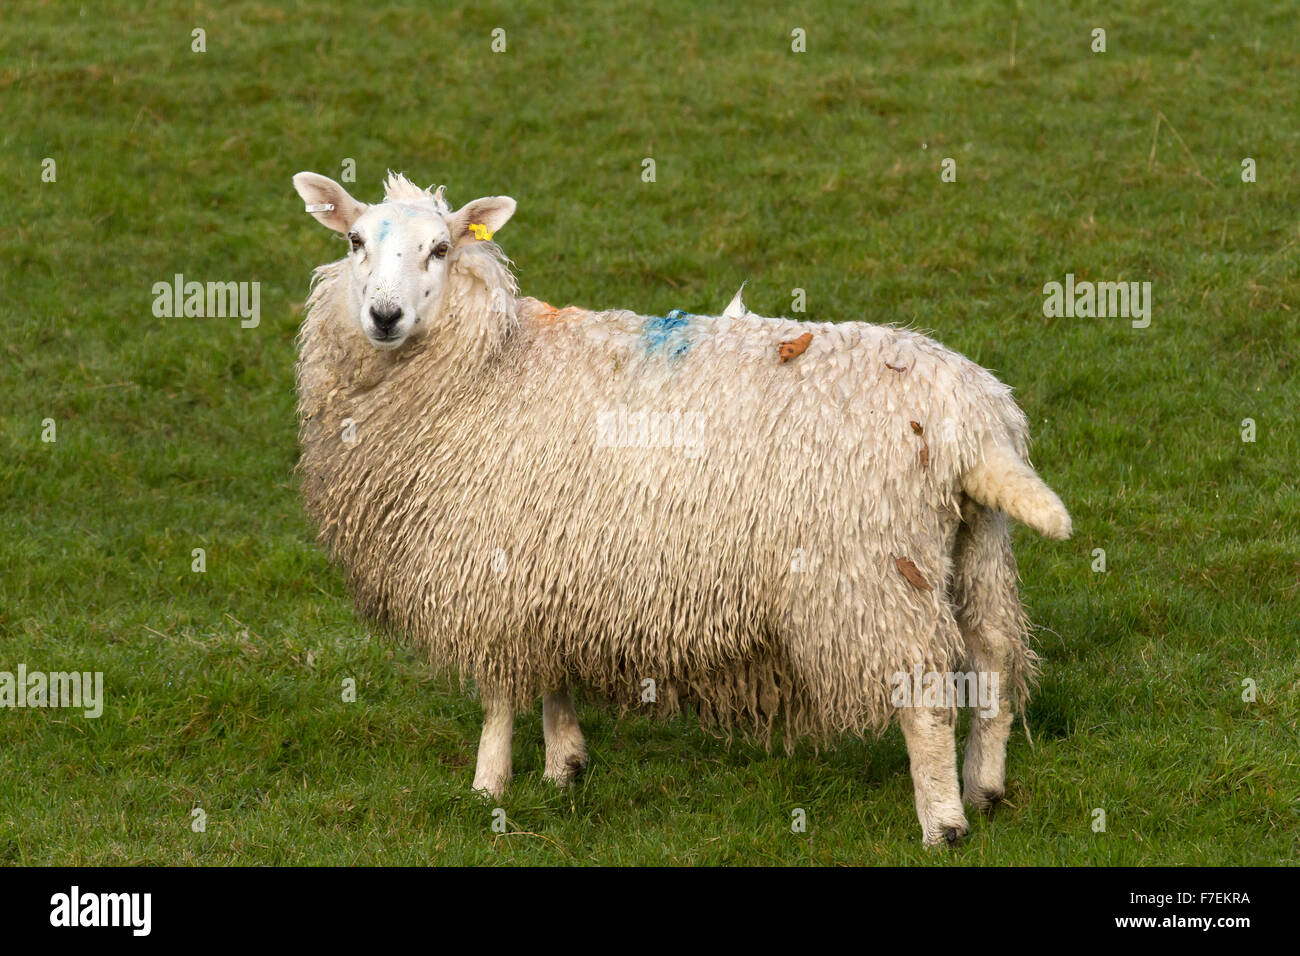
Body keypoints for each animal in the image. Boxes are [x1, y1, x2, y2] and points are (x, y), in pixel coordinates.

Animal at [290, 170, 1071, 845]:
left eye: (441, 248)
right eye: (354, 242)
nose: (384, 315)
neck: (489, 363)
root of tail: (973, 421)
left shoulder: (493, 566)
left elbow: (499, 693)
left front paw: (489, 786)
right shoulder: (547, 568)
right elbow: (549, 676)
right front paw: (565, 766)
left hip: (870, 572)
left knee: (927, 694)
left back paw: (944, 822)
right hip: (976, 544)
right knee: (995, 661)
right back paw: (985, 789)